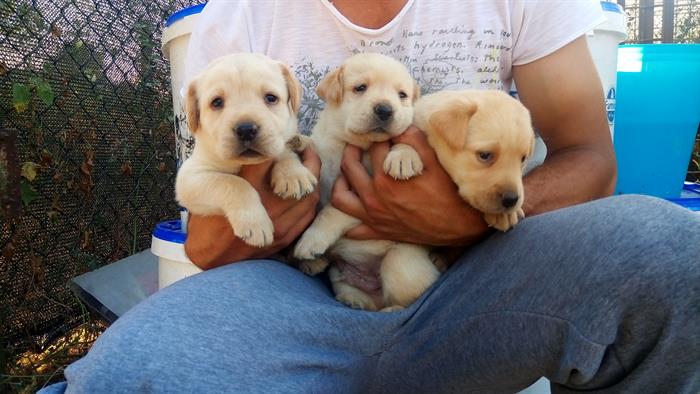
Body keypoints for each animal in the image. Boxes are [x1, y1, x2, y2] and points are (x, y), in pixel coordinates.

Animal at [176, 53, 316, 248]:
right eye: (217, 102)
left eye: (271, 98)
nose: (246, 130)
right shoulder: (190, 178)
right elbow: (232, 182)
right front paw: (254, 222)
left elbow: (283, 151)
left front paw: (292, 174)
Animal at [294, 53, 438, 310]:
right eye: (360, 88)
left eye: (402, 95)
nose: (385, 109)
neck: (354, 143)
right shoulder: (324, 147)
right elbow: (313, 147)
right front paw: (299, 141)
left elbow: (332, 212)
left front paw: (403, 157)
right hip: (340, 276)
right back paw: (352, 298)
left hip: (399, 261)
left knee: (404, 299)